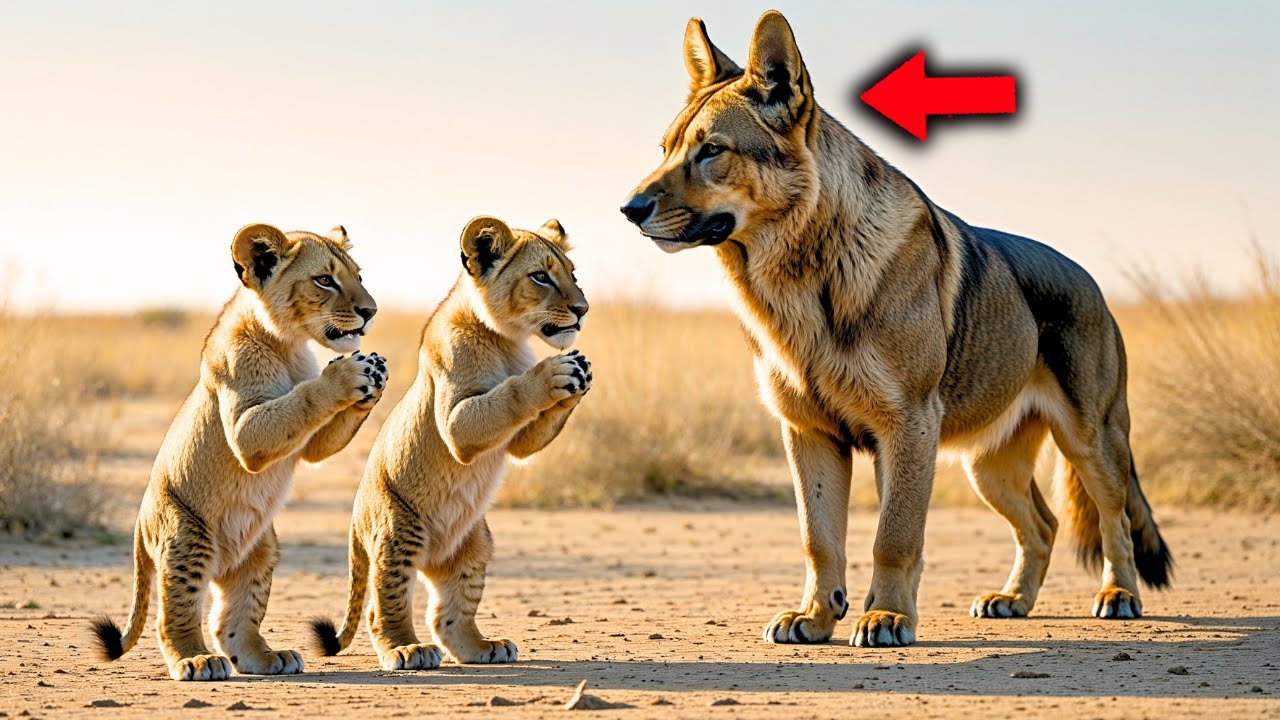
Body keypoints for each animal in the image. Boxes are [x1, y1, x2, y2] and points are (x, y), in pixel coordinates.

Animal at [90, 223, 387, 680]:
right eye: (325, 279)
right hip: (187, 536)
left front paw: (374, 378)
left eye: (358, 275)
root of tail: (139, 526)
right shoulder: (247, 433)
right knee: (173, 615)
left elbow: (316, 438)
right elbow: (301, 400)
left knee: (231, 619)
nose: (370, 311)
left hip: (261, 550)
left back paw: (266, 657)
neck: (288, 345)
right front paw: (348, 374)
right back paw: (195, 659)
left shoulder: (307, 446)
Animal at [309, 215, 591, 670]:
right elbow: (506, 397)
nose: (583, 309)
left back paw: (484, 647)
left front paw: (578, 380)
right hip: (398, 530)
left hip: (475, 543)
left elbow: (524, 440)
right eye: (541, 276)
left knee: (448, 614)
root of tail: (353, 519)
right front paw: (555, 373)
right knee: (380, 608)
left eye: (573, 274)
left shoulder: (517, 441)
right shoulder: (457, 422)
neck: (506, 340)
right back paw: (406, 649)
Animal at [620, 11, 1171, 647]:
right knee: (1044, 525)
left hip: (1091, 445)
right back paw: (1012, 600)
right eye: (666, 150)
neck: (804, 279)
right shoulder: (810, 434)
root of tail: (1091, 281)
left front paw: (885, 616)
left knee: (1115, 524)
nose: (629, 209)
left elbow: (894, 536)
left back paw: (1119, 596)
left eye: (712, 150)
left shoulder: (907, 426)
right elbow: (819, 539)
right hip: (988, 467)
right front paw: (816, 616)